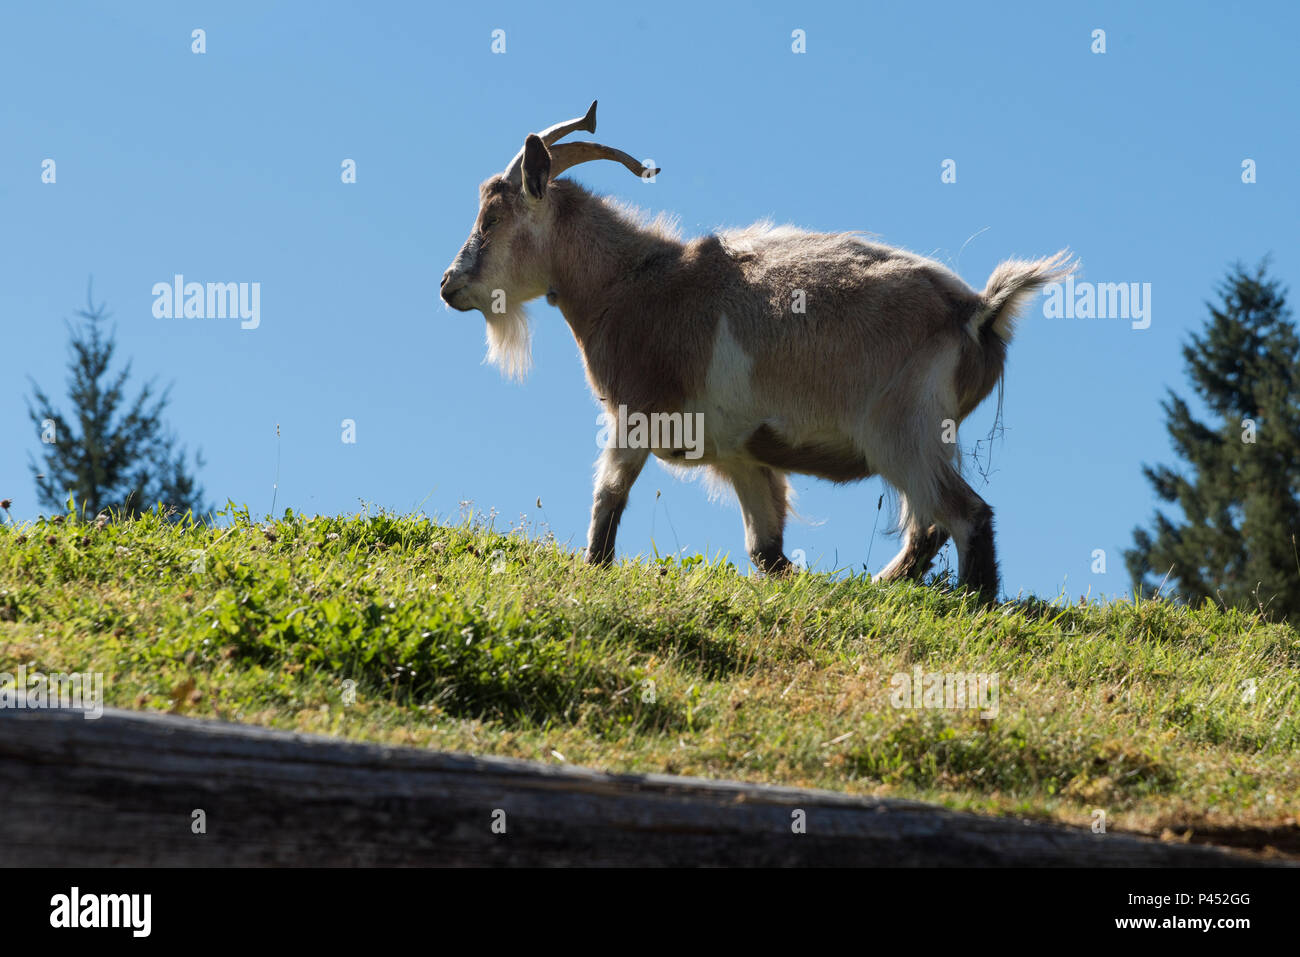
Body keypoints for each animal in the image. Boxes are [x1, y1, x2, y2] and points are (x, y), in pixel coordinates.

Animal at [440, 102, 1073, 603]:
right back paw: (884, 586)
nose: (448, 284)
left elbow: (607, 500)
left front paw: (593, 570)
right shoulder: (743, 453)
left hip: (902, 432)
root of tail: (977, 312)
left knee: (965, 514)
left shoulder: (634, 417)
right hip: (921, 438)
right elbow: (766, 551)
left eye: (491, 217)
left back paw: (973, 602)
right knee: (928, 525)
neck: (632, 283)